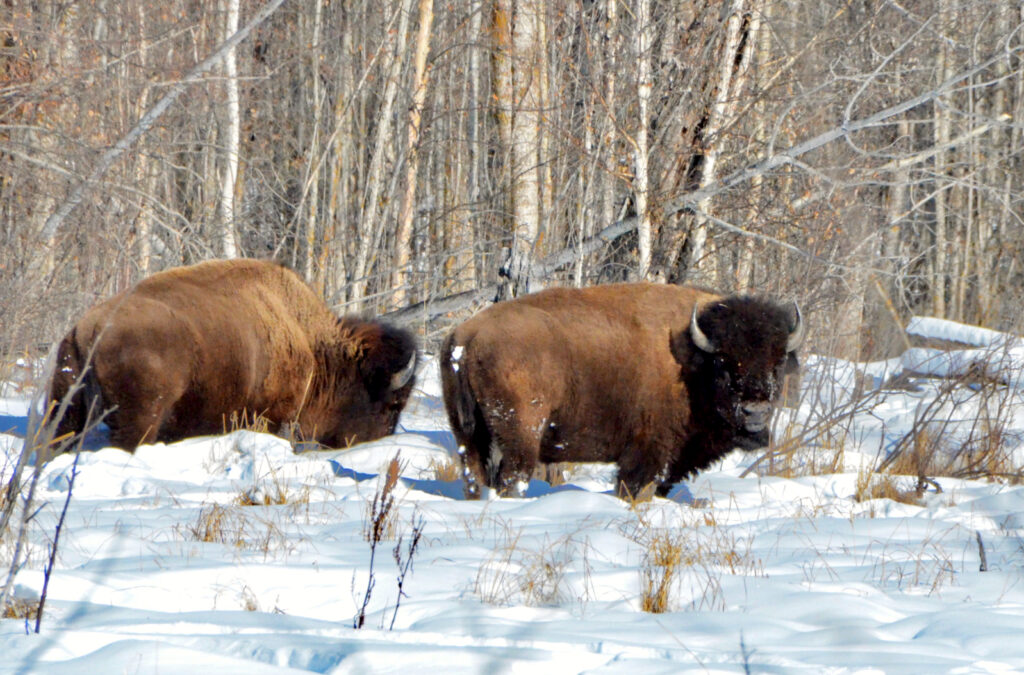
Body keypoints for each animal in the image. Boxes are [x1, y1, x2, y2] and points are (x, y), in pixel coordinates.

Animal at [48, 259, 418, 451]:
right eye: (391, 404)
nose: (385, 437)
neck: (312, 347)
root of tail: (89, 329)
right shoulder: (274, 414)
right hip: (139, 419)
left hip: (65, 407)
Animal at [440, 283, 803, 499]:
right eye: (724, 363)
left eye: (777, 362)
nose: (756, 412)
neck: (692, 357)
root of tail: (467, 335)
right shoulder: (648, 453)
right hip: (521, 435)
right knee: (511, 478)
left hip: (466, 434)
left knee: (474, 475)